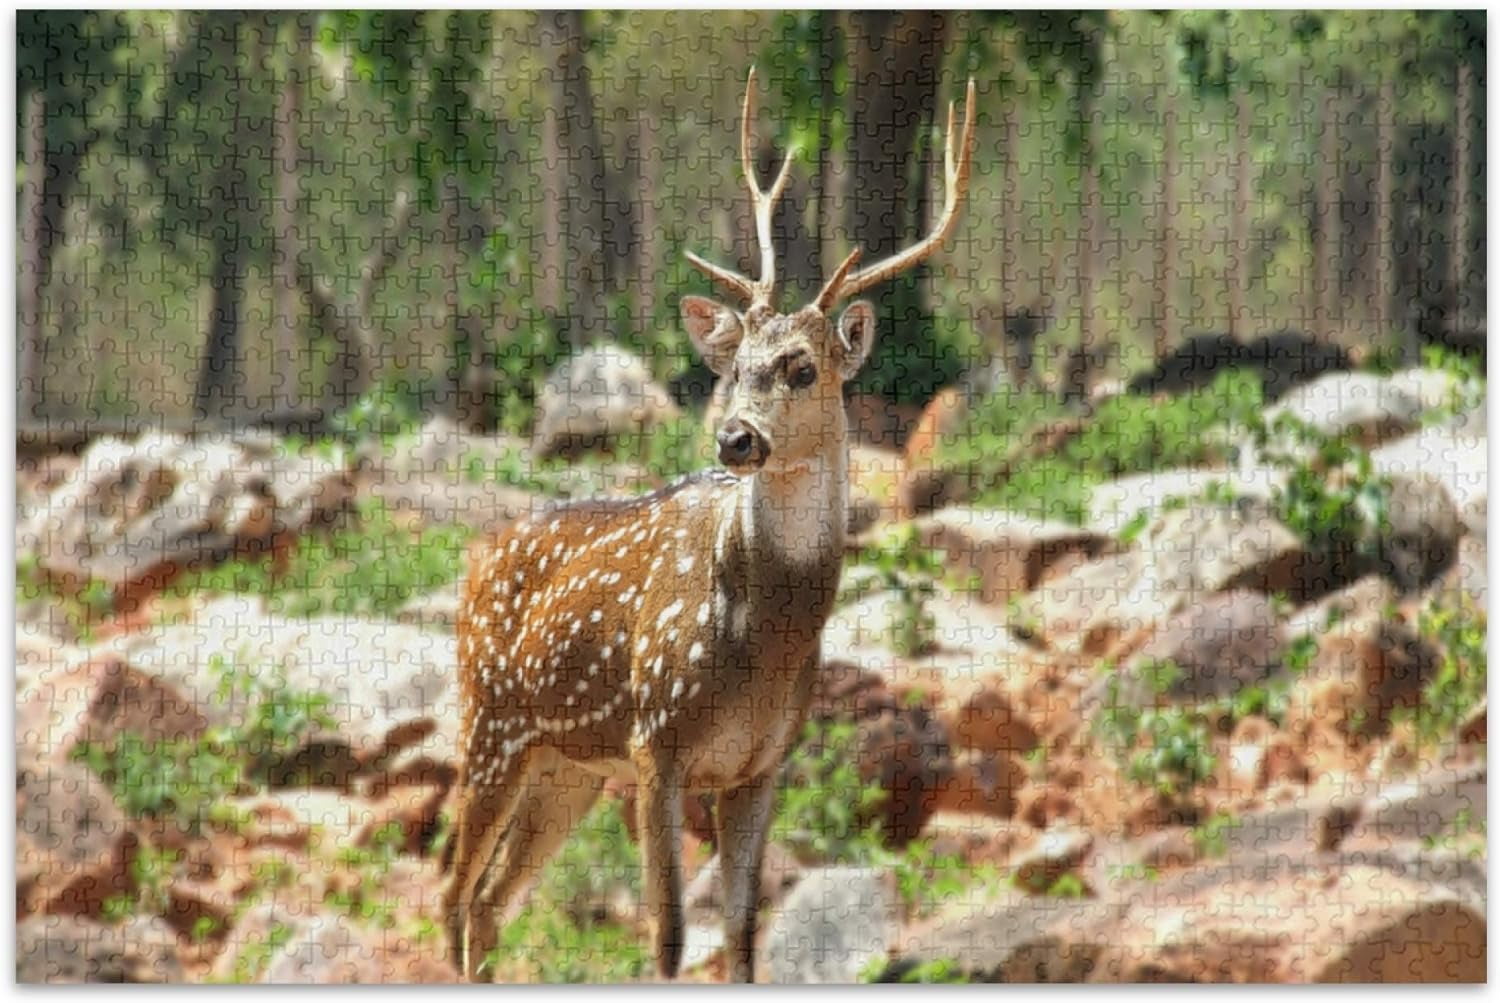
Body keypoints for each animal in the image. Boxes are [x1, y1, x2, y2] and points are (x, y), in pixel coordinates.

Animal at [444, 68, 976, 984]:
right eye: (734, 367)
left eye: (802, 367)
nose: (735, 438)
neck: (760, 643)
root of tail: (475, 561)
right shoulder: (657, 742)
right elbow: (666, 934)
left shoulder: (762, 764)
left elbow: (740, 933)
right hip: (493, 722)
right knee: (451, 894)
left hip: (565, 764)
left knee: (487, 902)